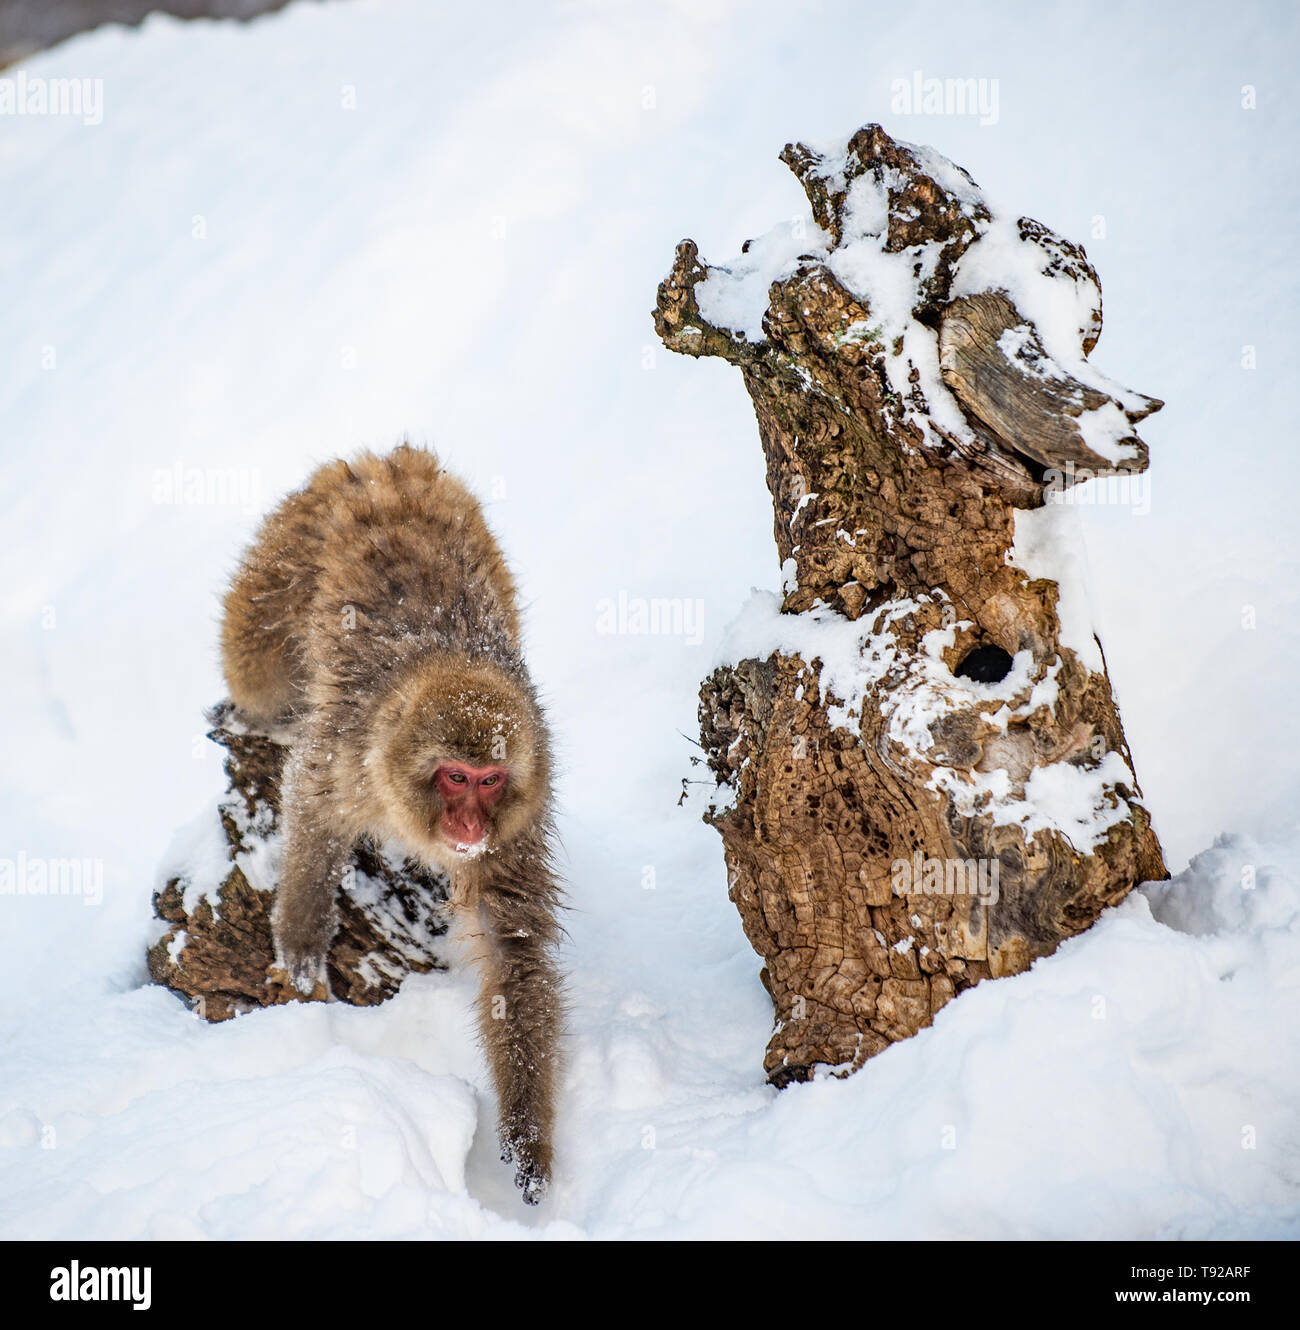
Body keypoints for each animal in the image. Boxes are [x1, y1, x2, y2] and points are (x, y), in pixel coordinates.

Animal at [220, 443, 563, 1203]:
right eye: (455, 777)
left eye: (491, 780)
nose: (469, 823)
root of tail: (386, 462)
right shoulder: (351, 754)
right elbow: (311, 804)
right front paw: (301, 938)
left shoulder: (517, 823)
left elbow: (512, 952)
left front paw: (528, 1136)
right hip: (280, 567)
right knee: (256, 673)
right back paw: (251, 714)